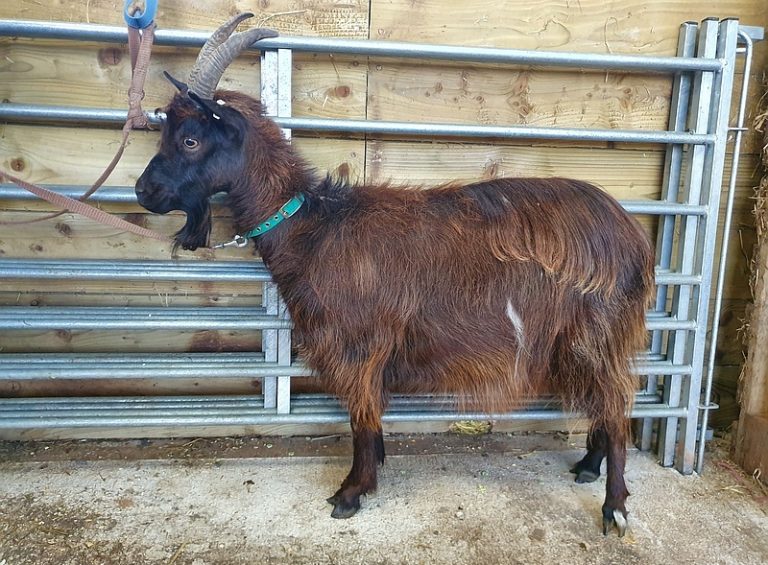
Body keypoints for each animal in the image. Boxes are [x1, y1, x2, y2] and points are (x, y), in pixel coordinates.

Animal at [135, 14, 654, 536]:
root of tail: (632, 235)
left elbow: (360, 417)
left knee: (617, 406)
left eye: (190, 140)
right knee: (605, 403)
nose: (143, 191)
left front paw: (351, 491)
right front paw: (373, 469)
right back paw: (588, 465)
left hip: (598, 332)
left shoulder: (359, 345)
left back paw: (615, 508)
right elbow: (369, 419)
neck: (313, 226)